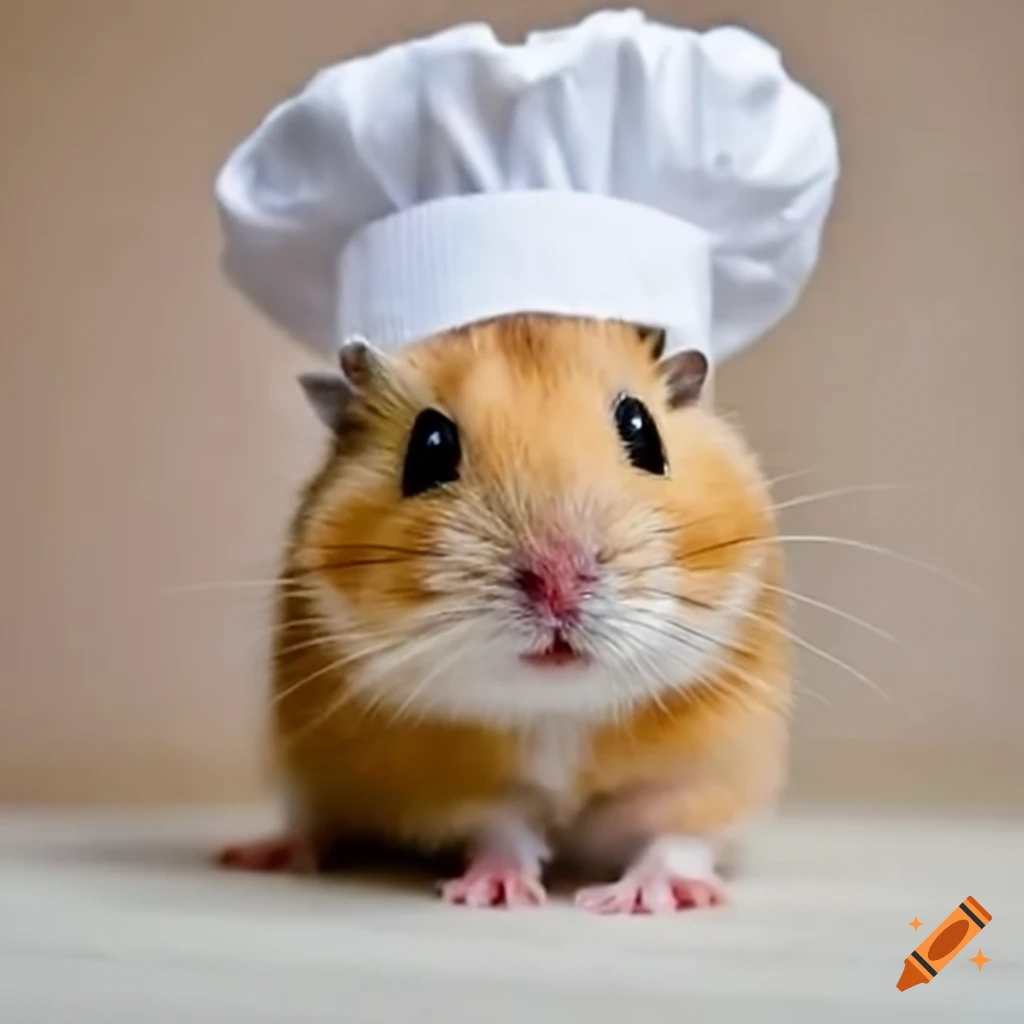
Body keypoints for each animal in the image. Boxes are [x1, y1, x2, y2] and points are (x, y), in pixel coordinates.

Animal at [219, 315, 790, 913]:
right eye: (429, 445)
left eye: (642, 431)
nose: (558, 583)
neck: (556, 711)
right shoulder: (463, 787)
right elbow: (501, 831)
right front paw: (492, 895)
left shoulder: (712, 769)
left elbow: (678, 835)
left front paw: (645, 901)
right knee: (309, 820)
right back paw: (259, 856)